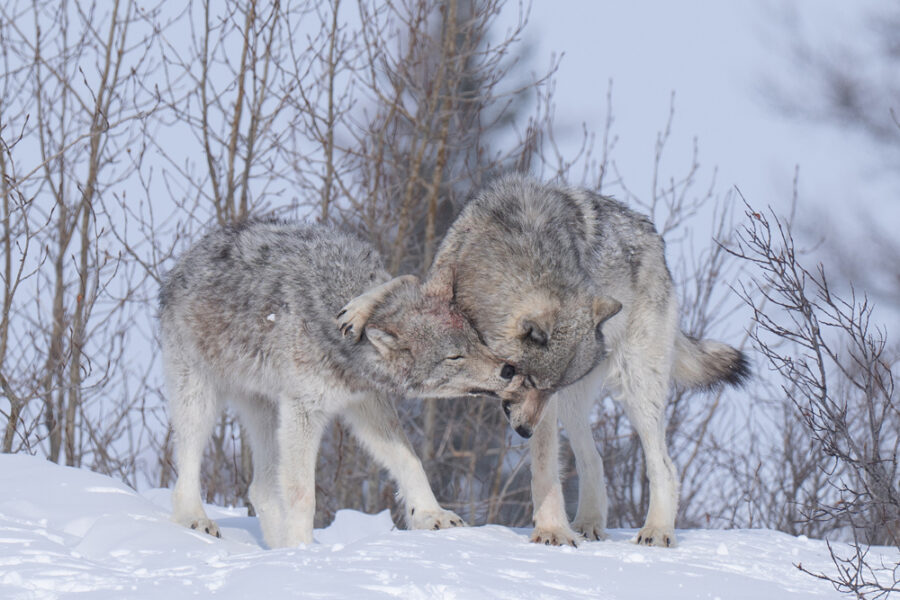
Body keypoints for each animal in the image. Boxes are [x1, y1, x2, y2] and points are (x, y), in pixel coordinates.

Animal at [159, 220, 546, 548]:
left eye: (477, 339)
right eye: (454, 356)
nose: (509, 370)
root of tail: (190, 254)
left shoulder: (365, 402)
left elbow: (410, 459)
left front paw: (431, 515)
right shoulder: (304, 410)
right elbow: (303, 493)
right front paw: (303, 552)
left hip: (267, 414)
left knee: (260, 489)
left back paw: (277, 548)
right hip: (200, 399)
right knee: (188, 464)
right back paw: (197, 519)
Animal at [340, 174, 748, 547]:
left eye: (534, 383)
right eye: (524, 378)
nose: (522, 431)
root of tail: (656, 242)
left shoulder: (547, 407)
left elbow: (544, 466)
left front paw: (552, 531)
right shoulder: (442, 276)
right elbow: (404, 279)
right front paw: (357, 310)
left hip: (633, 390)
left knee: (663, 465)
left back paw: (656, 531)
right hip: (577, 403)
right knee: (593, 458)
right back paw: (588, 525)